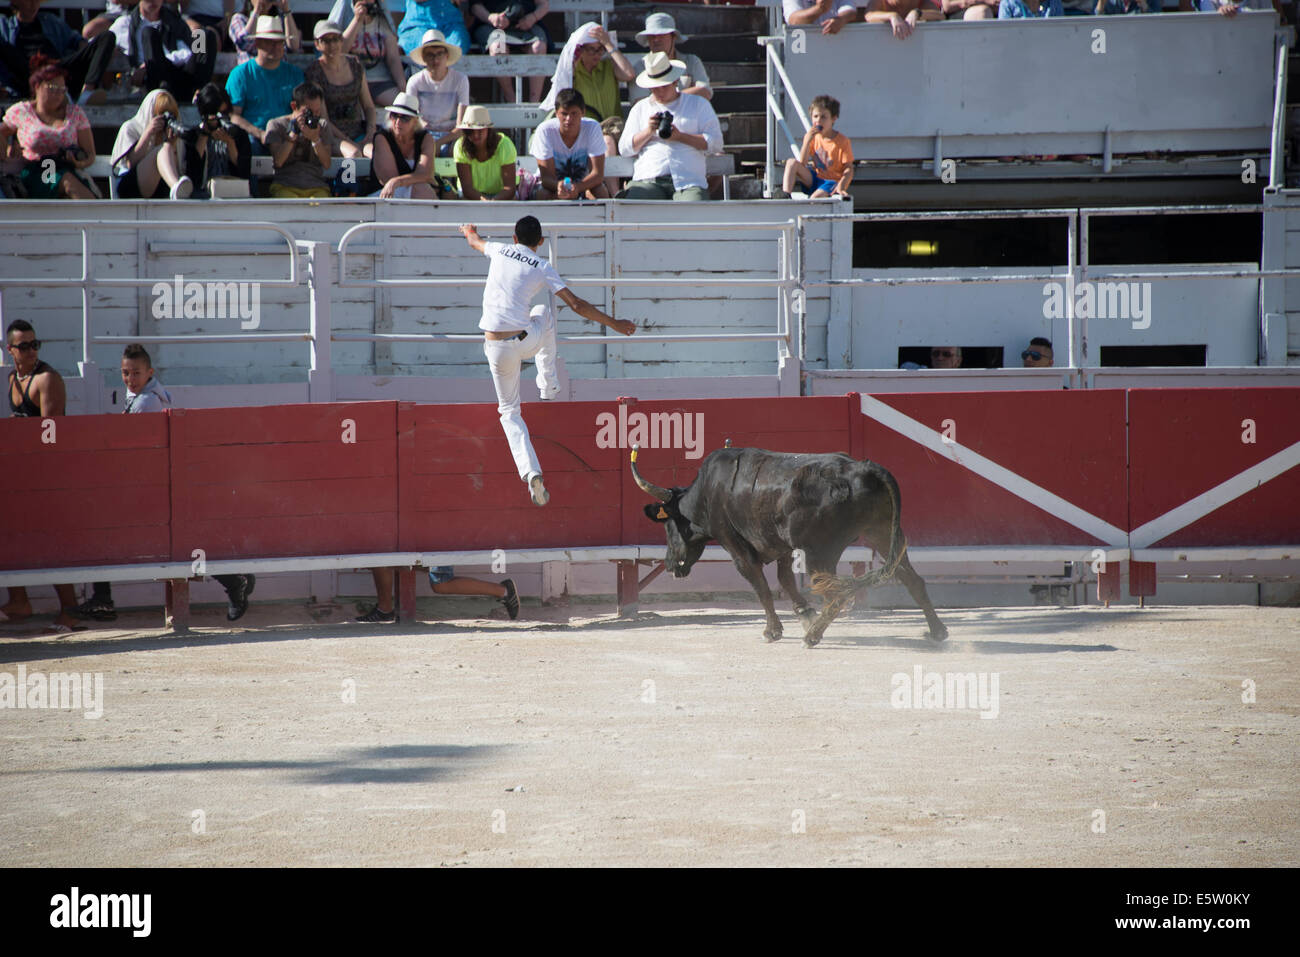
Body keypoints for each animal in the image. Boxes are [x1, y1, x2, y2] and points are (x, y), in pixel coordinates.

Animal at [632, 443, 947, 647]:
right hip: (884, 534)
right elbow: (785, 579)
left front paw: (773, 631)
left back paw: (813, 636)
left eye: (667, 526)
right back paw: (937, 632)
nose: (670, 565)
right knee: (911, 578)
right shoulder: (782, 546)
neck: (706, 494)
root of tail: (865, 469)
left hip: (821, 552)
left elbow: (761, 586)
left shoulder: (737, 548)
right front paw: (804, 613)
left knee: (836, 593)